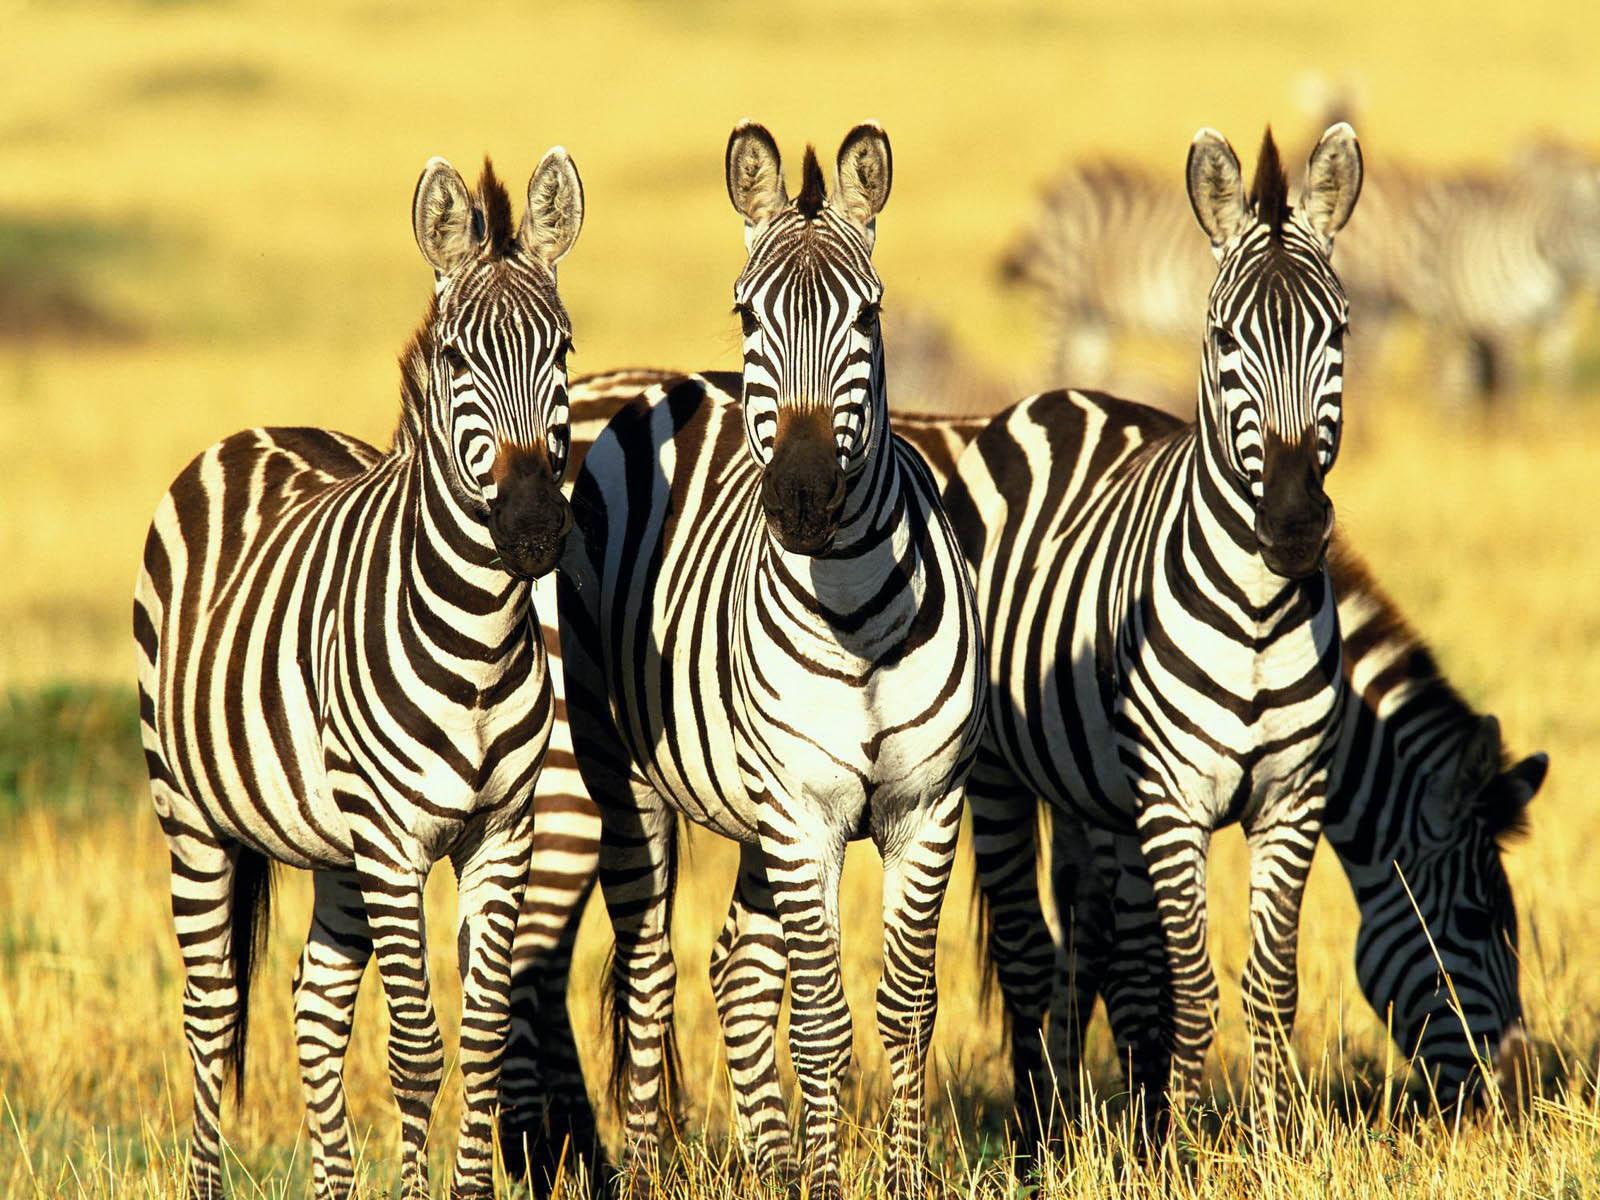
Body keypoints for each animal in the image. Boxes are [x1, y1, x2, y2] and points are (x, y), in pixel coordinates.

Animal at [133, 150, 584, 1199]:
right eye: (458, 361)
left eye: (564, 351)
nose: (533, 531)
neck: (479, 641)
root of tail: (254, 433)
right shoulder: (392, 837)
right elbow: (417, 1051)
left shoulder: (502, 831)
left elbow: (485, 1040)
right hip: (191, 813)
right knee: (212, 1010)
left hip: (333, 845)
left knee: (315, 1003)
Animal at [553, 121, 985, 1198]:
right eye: (747, 313)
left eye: (869, 315)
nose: (800, 498)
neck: (856, 615)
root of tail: (637, 386)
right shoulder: (804, 812)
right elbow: (825, 1021)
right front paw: (830, 1185)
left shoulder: (926, 807)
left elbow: (907, 1007)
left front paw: (898, 1179)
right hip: (626, 779)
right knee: (651, 972)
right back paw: (651, 1168)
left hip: (755, 807)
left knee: (737, 970)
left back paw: (773, 1165)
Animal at [942, 123, 1364, 1139]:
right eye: (1222, 337)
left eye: (1337, 332)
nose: (1293, 525)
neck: (1257, 611)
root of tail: (1057, 396)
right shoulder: (1173, 803)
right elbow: (1193, 991)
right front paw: (1182, 1144)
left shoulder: (1293, 798)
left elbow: (1269, 987)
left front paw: (1276, 1140)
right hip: (999, 777)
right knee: (1027, 953)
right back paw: (1039, 1136)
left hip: (1092, 796)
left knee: (1084, 944)